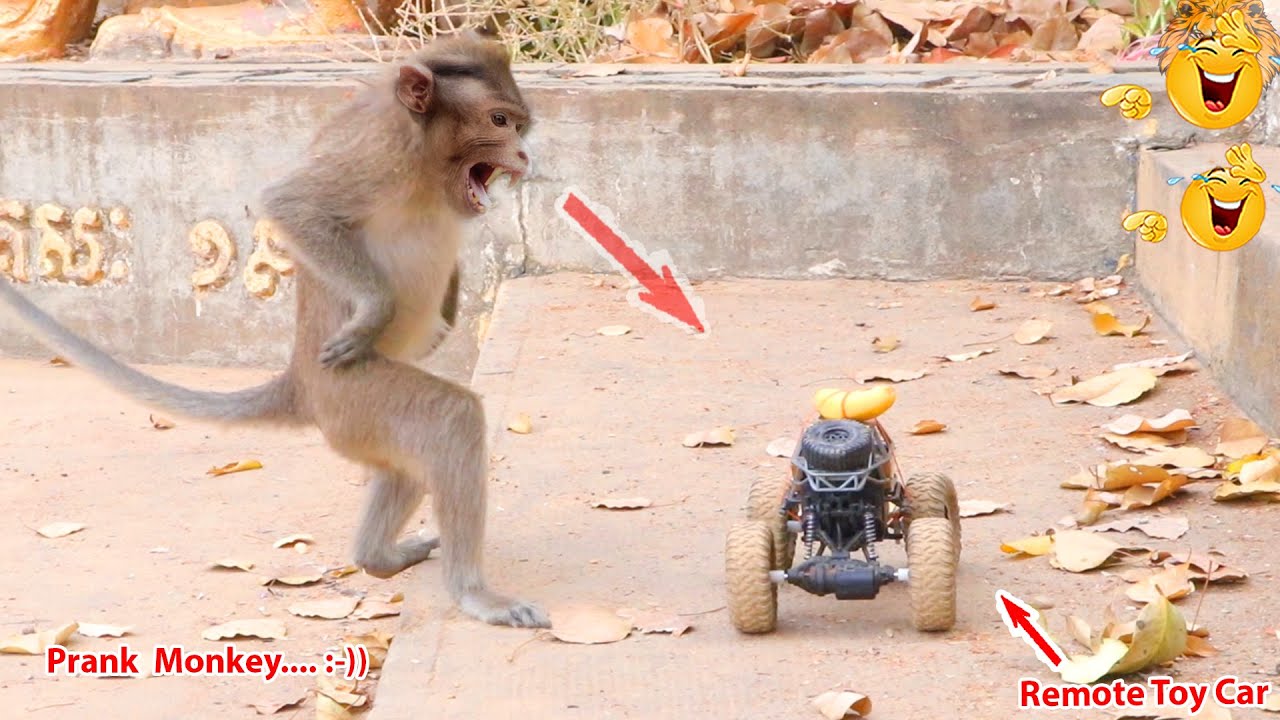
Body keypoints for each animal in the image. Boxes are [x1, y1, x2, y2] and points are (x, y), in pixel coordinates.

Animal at [0, 35, 548, 629]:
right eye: (499, 121)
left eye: (519, 126)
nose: (524, 157)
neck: (424, 159)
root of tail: (300, 381)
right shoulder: (378, 153)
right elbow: (291, 204)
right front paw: (374, 312)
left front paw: (445, 310)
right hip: (352, 395)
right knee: (451, 419)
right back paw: (473, 593)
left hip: (358, 421)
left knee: (408, 464)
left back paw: (377, 558)